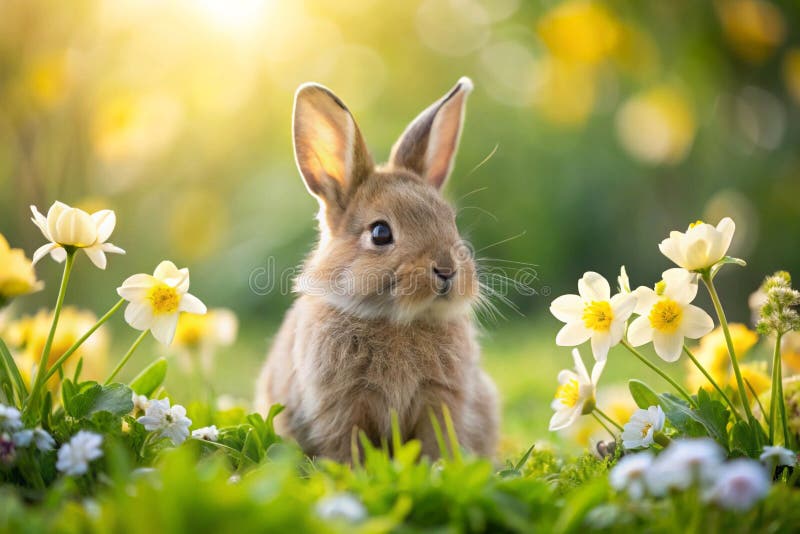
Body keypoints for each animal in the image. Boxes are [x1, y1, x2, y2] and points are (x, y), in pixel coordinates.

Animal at [255, 77, 499, 462]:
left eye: (452, 222)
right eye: (380, 233)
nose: (447, 270)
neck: (397, 321)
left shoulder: (440, 399)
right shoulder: (342, 406)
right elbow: (348, 447)